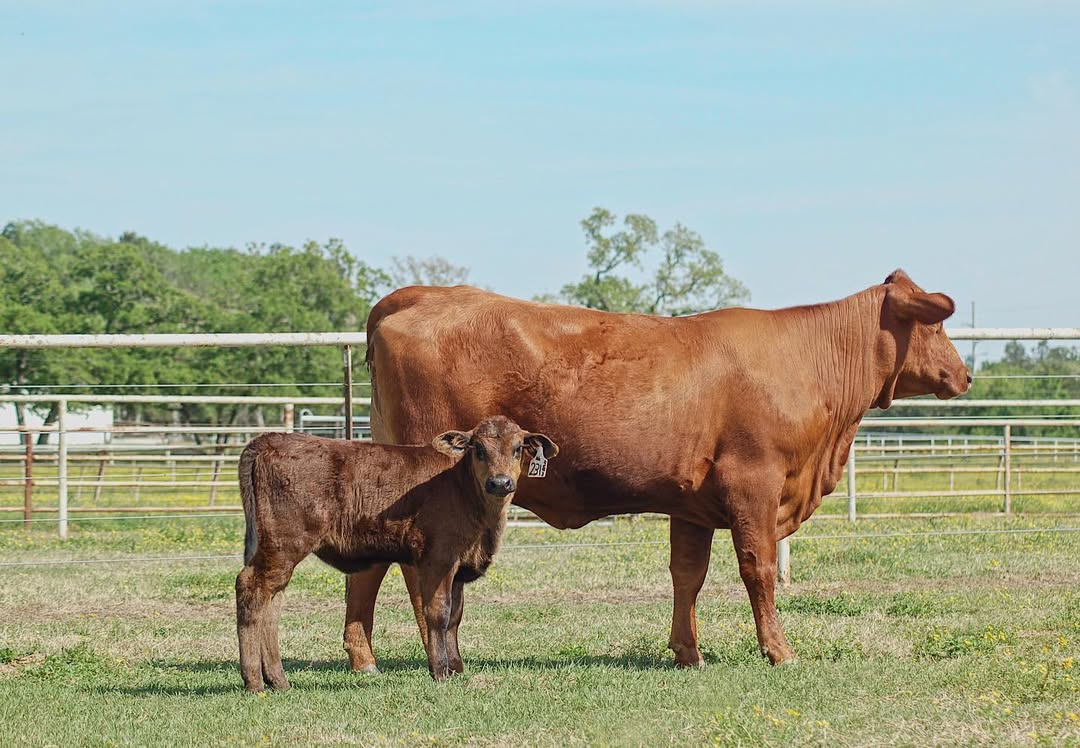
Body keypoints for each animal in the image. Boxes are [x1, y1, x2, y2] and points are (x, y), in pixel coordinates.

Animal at [235, 415, 558, 689]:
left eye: (518, 448)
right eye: (477, 448)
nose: (500, 482)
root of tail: (271, 439)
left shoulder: (458, 567)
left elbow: (455, 617)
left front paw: (456, 668)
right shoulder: (438, 559)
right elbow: (438, 613)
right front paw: (440, 671)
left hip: (278, 553)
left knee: (273, 602)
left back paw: (278, 680)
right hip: (283, 544)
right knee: (251, 589)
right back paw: (254, 682)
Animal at [342, 270, 970, 671]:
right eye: (936, 327)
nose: (964, 376)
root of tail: (414, 297)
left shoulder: (692, 503)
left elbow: (687, 575)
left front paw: (687, 652)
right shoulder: (754, 485)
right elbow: (759, 569)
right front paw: (779, 651)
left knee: (370, 567)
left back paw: (365, 658)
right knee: (416, 572)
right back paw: (432, 654)